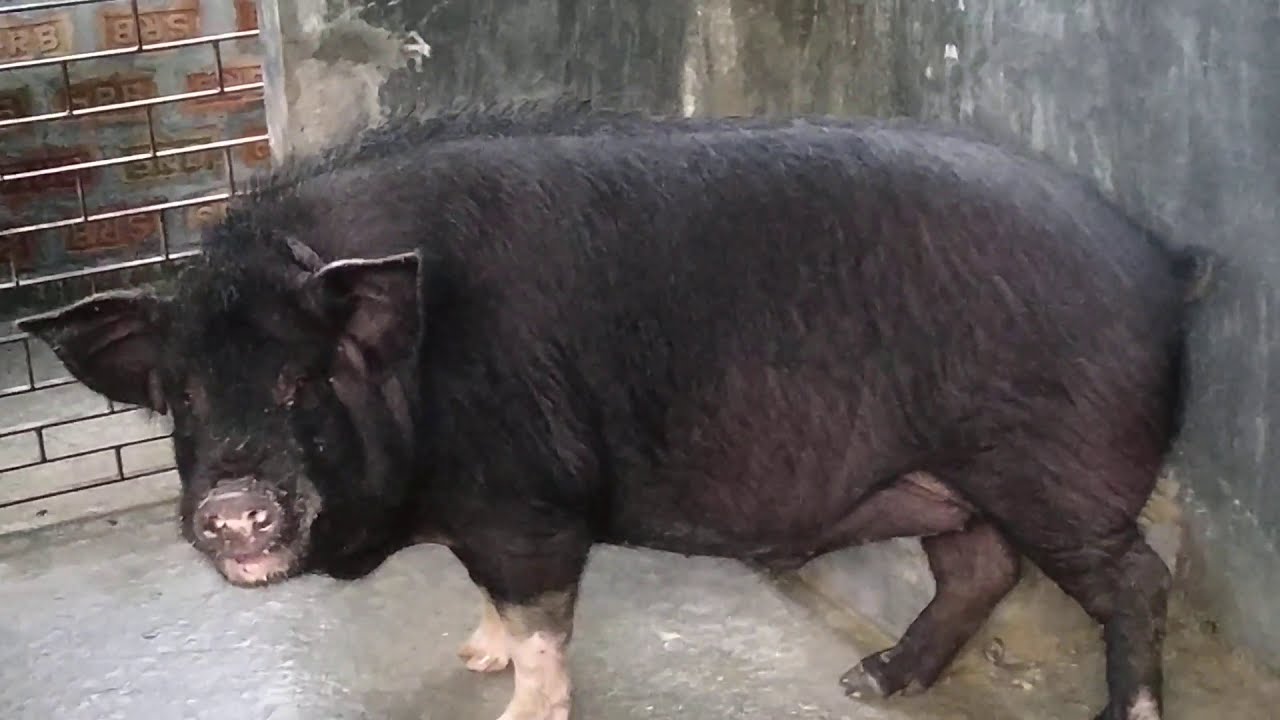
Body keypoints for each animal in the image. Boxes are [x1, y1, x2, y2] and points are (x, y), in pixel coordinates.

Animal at [19, 101, 1215, 720]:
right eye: (181, 397)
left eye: (300, 384)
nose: (231, 506)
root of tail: (1162, 262)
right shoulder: (482, 516)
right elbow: (494, 602)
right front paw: (473, 658)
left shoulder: (530, 502)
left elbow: (543, 616)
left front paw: (510, 704)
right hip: (948, 477)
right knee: (979, 566)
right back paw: (868, 681)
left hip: (1054, 469)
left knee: (1132, 581)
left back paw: (1115, 712)